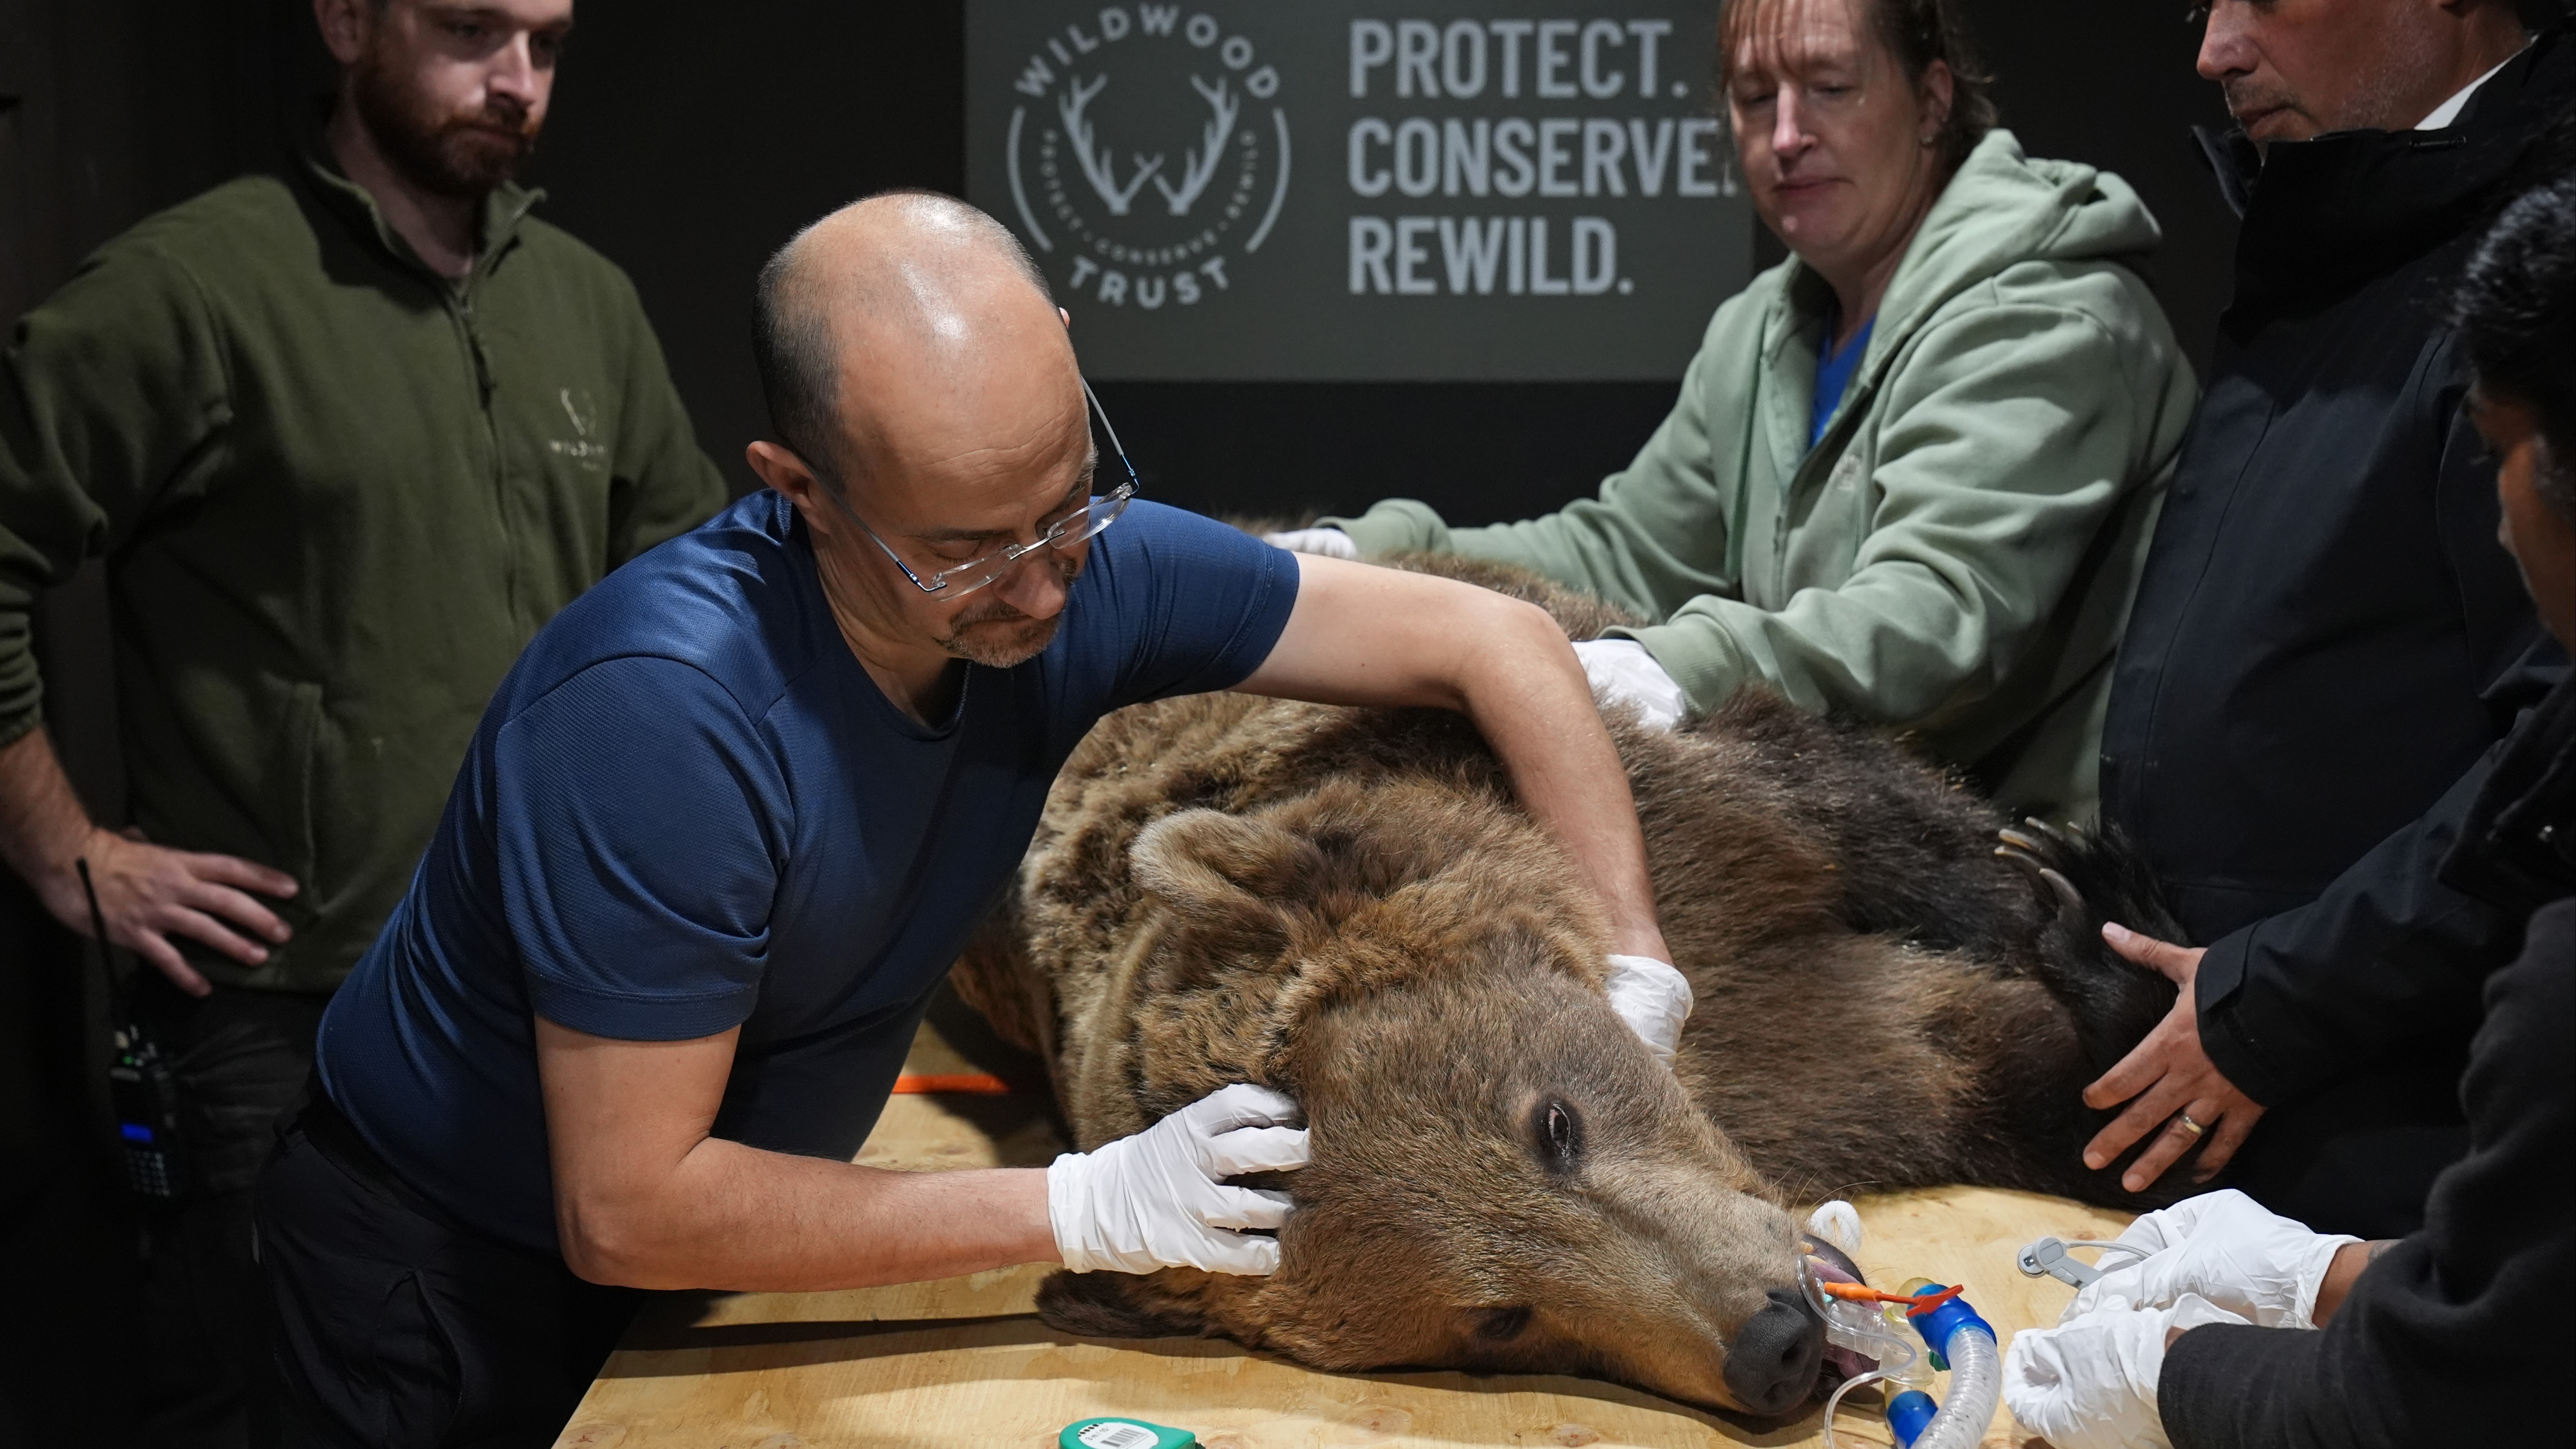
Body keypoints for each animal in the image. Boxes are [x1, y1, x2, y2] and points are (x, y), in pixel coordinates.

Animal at [951, 554, 2186, 1419]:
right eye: (1498, 1317)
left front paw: (2096, 935)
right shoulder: (1828, 1056)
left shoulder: (1714, 846)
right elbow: (1986, 1069)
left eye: (1554, 1123)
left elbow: (1933, 882)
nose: (1774, 1344)